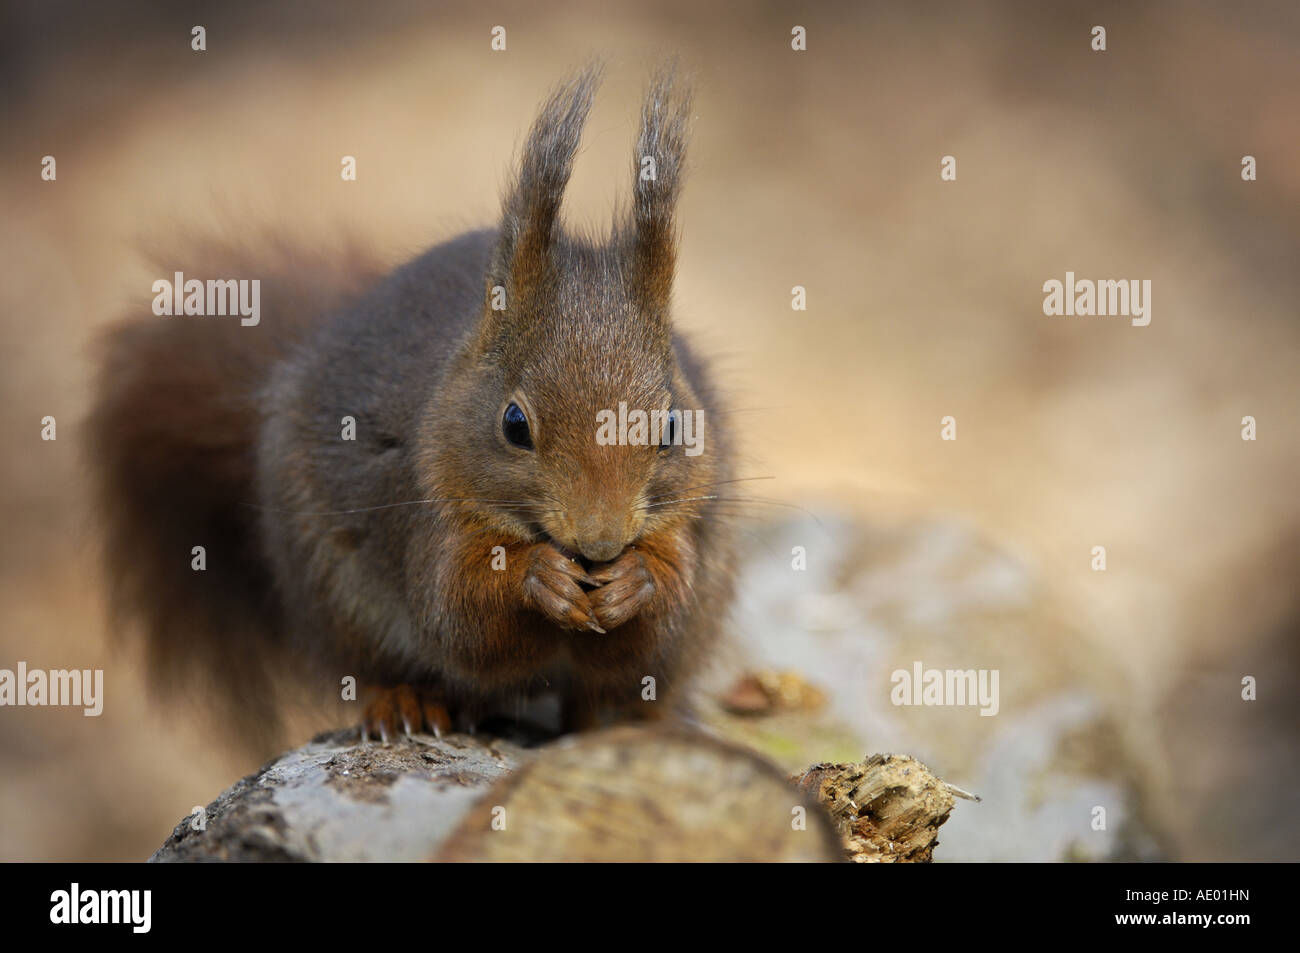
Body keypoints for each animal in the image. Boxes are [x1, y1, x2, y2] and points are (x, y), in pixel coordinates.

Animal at [87, 63, 737, 747]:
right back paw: (404, 702)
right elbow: (458, 614)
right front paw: (538, 576)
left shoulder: (688, 526)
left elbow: (660, 611)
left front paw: (636, 582)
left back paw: (640, 717)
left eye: (672, 423)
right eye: (514, 424)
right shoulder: (423, 515)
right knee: (379, 667)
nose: (601, 542)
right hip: (334, 594)